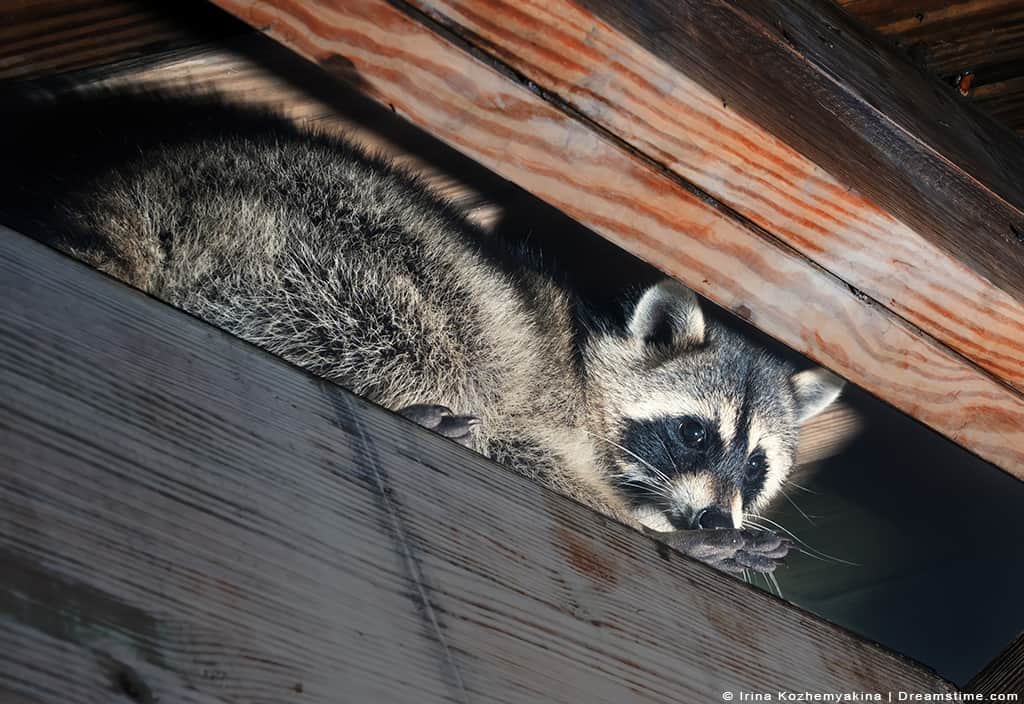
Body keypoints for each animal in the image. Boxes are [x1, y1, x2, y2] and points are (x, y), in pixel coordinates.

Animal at [0, 91, 843, 575]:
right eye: (695, 434)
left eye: (757, 465)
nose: (714, 517)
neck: (587, 363)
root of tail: (143, 184)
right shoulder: (542, 402)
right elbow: (524, 449)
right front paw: (658, 530)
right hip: (320, 245)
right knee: (431, 337)